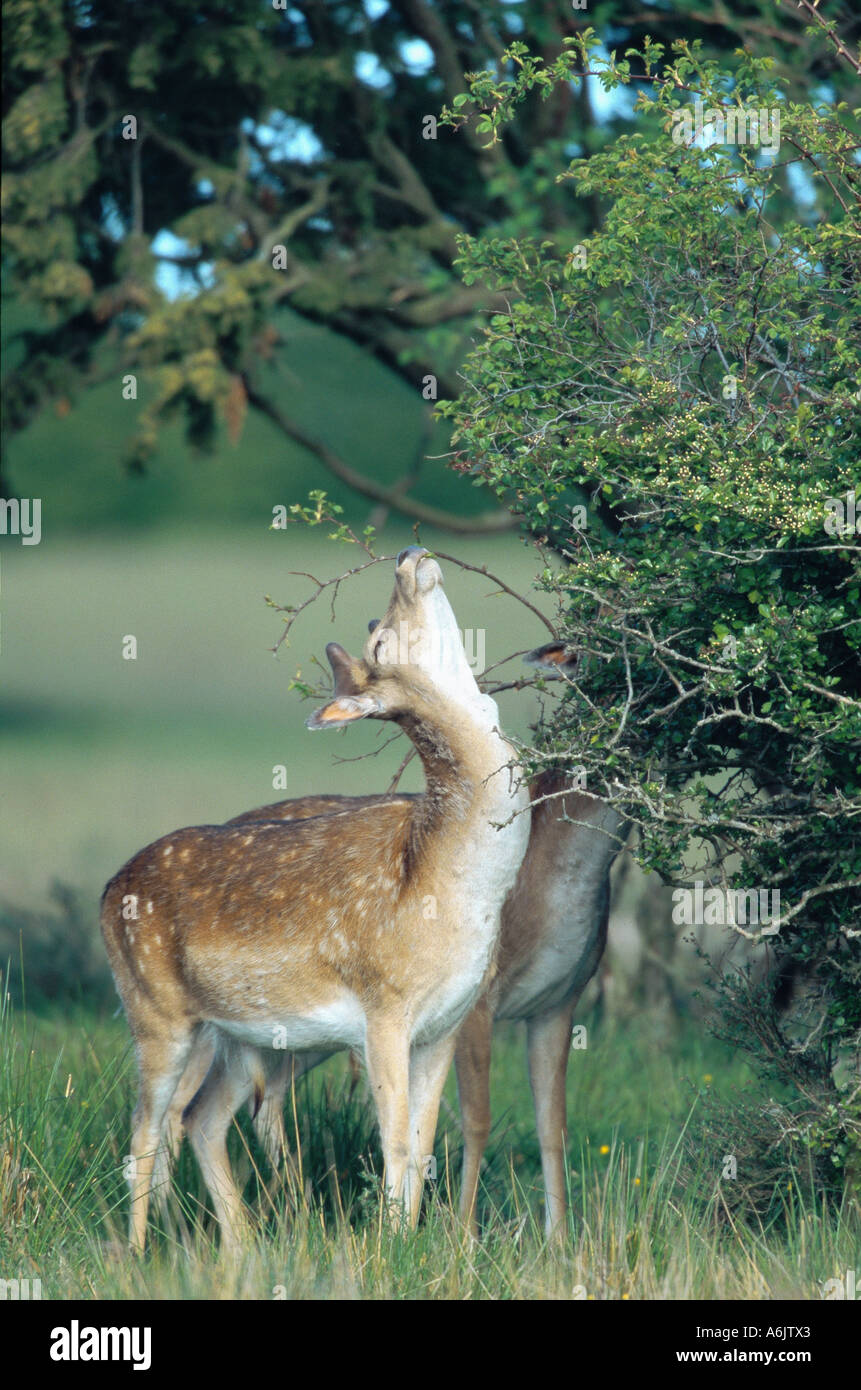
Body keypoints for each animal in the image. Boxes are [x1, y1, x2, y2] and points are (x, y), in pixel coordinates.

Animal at [100, 547, 531, 1251]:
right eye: (379, 638)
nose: (409, 557)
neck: (450, 885)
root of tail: (109, 891)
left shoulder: (446, 1021)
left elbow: (423, 1142)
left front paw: (415, 1242)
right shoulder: (384, 1005)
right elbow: (394, 1142)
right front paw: (391, 1248)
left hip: (241, 1036)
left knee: (200, 1118)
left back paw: (242, 1247)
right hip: (155, 1011)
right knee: (143, 1131)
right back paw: (140, 1252)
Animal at [155, 642, 628, 1238]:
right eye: (588, 661)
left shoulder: (559, 1000)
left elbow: (553, 1125)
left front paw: (559, 1243)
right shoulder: (478, 999)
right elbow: (477, 1120)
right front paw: (461, 1235)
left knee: (254, 1101)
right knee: (181, 1102)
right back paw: (180, 1227)